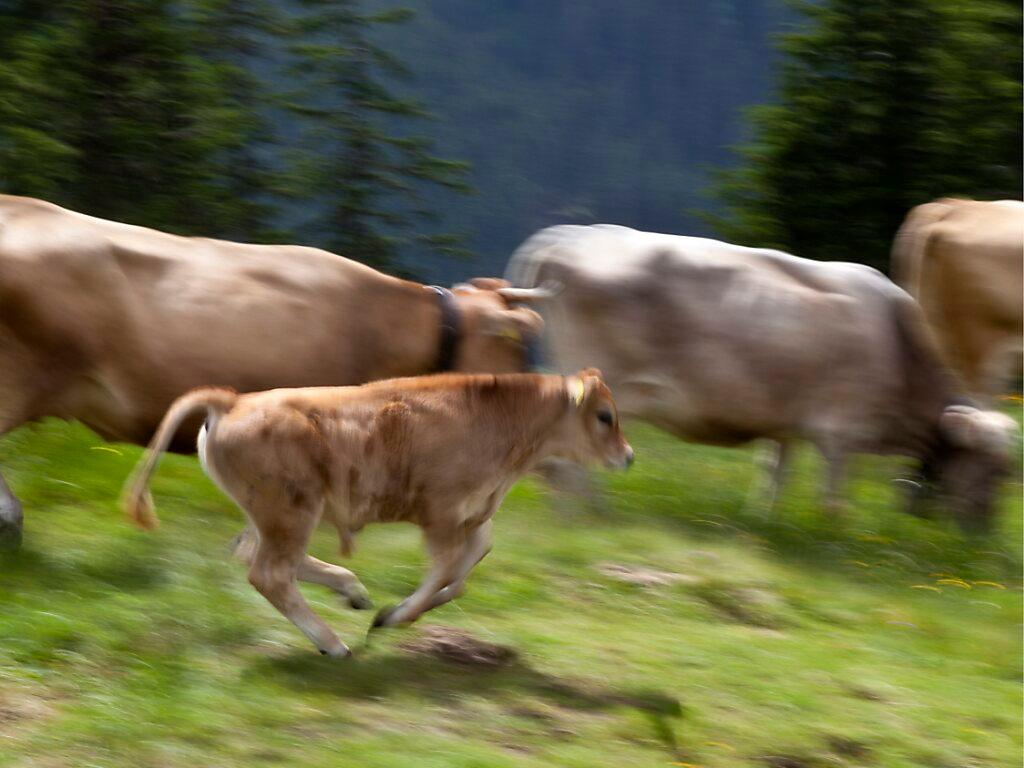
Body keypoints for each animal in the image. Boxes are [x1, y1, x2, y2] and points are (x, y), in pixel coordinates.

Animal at [121, 370, 633, 657]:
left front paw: (392, 612)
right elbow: (448, 568)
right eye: (604, 416)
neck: (498, 419)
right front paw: (394, 616)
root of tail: (233, 400)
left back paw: (353, 592)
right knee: (270, 573)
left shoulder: (474, 514)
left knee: (258, 557)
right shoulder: (442, 513)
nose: (628, 457)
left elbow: (465, 570)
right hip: (291, 513)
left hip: (273, 516)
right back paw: (333, 643)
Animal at [503, 224, 1018, 532]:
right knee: (567, 465)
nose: (982, 535)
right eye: (994, 469)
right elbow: (832, 497)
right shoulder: (841, 431)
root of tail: (564, 236)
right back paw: (585, 517)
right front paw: (833, 540)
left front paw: (761, 522)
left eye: (1010, 473)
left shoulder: (784, 425)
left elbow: (774, 475)